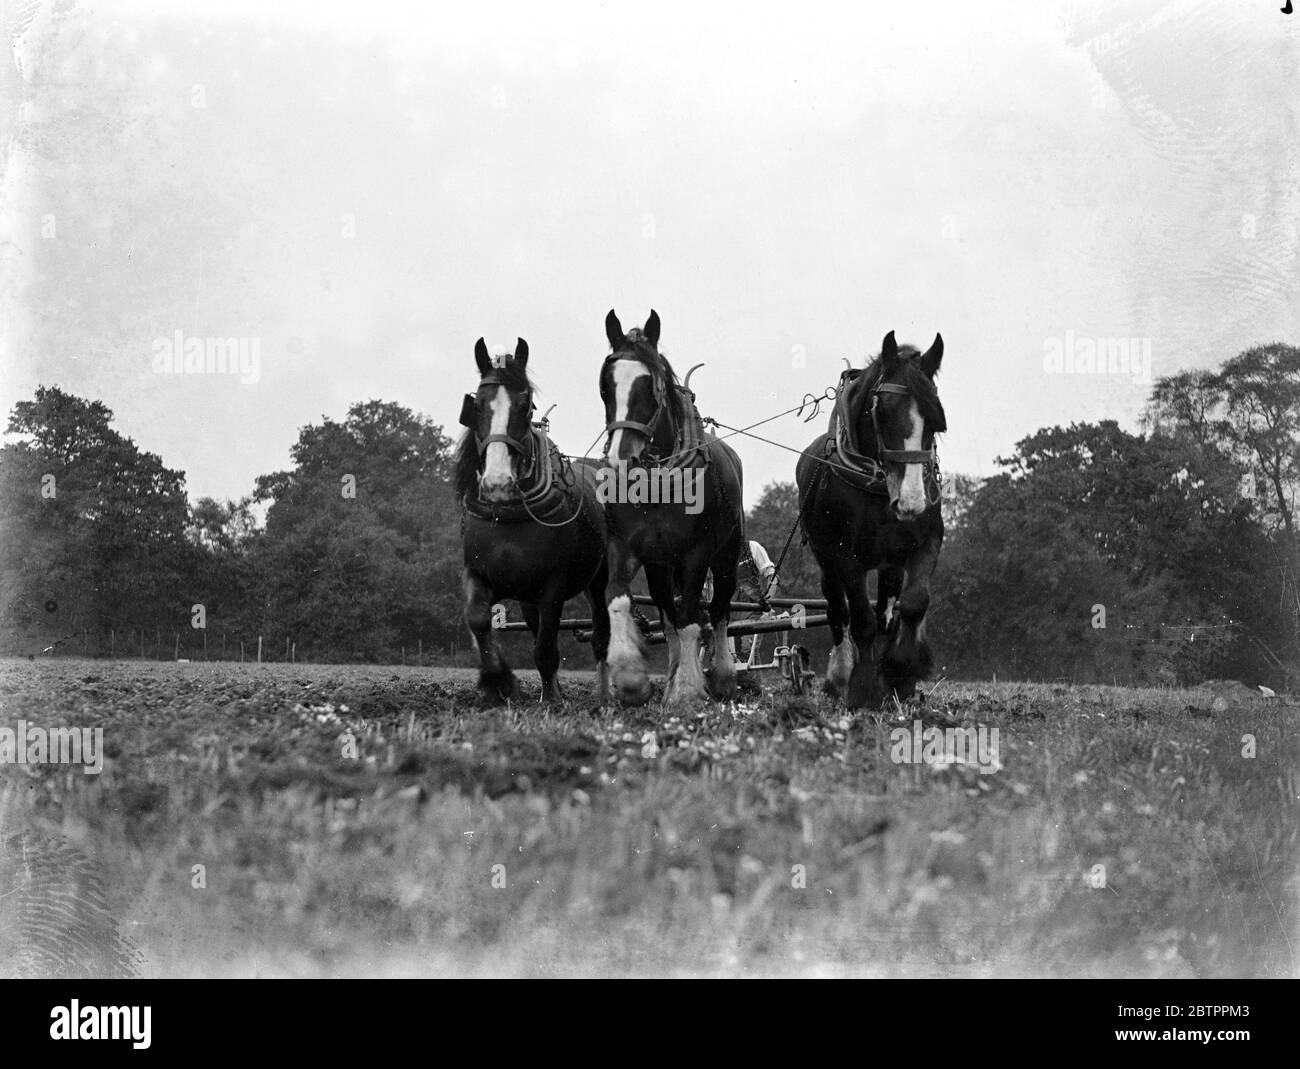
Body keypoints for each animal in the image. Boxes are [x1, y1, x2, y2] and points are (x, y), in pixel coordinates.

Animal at [455, 337, 610, 703]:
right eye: (477, 405)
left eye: (525, 407)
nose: (497, 482)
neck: (508, 515)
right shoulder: (480, 574)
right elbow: (478, 618)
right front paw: (497, 682)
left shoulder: (552, 586)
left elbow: (545, 648)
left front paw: (551, 700)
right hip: (527, 598)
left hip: (597, 579)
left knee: (600, 634)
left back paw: (602, 694)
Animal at [598, 309, 746, 706]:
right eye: (605, 386)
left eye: (652, 386)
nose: (621, 460)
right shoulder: (625, 546)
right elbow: (618, 599)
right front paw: (632, 680)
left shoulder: (698, 552)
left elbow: (693, 617)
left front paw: (688, 691)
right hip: (661, 567)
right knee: (668, 615)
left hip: (726, 556)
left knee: (718, 609)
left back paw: (721, 677)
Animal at [795, 330, 946, 709]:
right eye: (885, 412)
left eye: (934, 419)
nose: (911, 502)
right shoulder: (846, 557)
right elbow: (860, 620)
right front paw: (862, 688)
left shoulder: (927, 541)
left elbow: (913, 603)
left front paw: (900, 673)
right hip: (826, 562)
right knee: (838, 612)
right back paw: (838, 677)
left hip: (890, 564)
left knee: (886, 614)